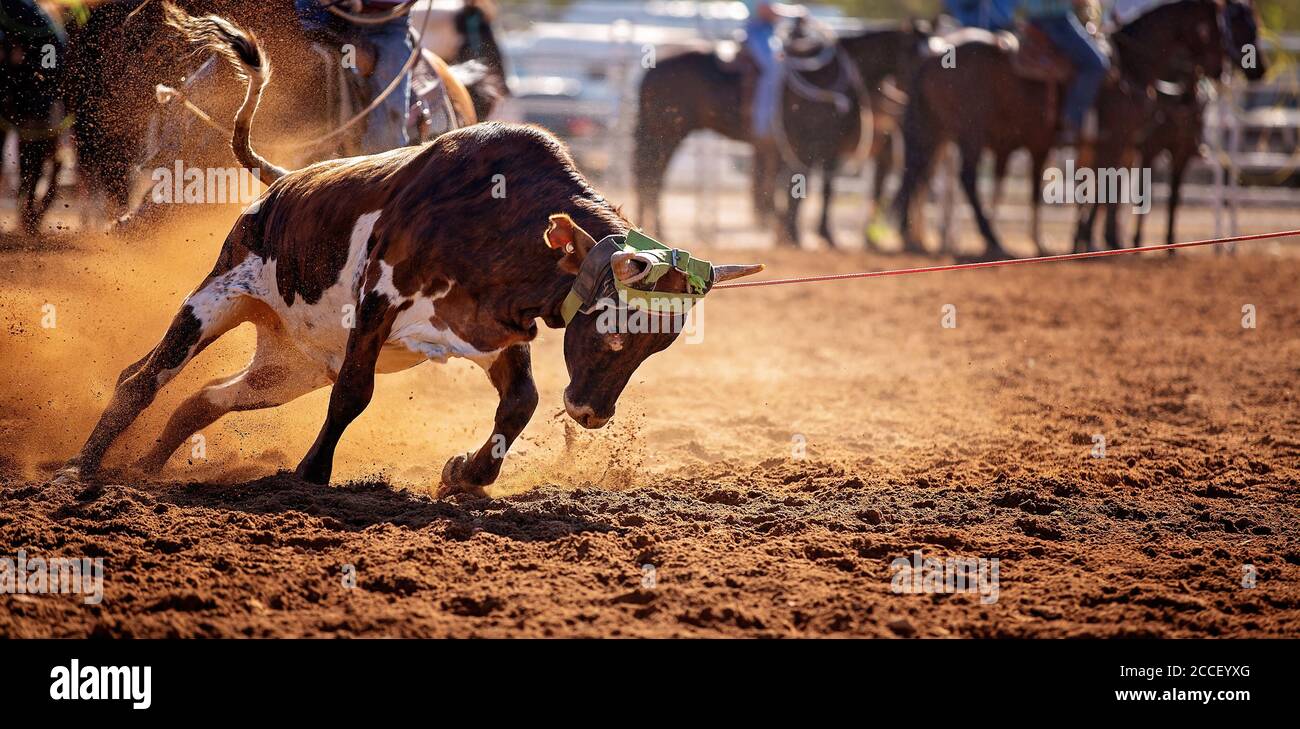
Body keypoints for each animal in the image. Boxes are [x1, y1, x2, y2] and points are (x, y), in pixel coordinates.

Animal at [57, 5, 764, 497]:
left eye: (657, 346)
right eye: (613, 330)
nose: (591, 414)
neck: (500, 215)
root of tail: (281, 182)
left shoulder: (495, 332)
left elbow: (521, 402)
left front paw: (465, 474)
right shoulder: (379, 297)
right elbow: (355, 392)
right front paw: (311, 473)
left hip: (287, 366)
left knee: (203, 399)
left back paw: (147, 471)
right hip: (217, 297)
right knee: (143, 380)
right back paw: (82, 468)